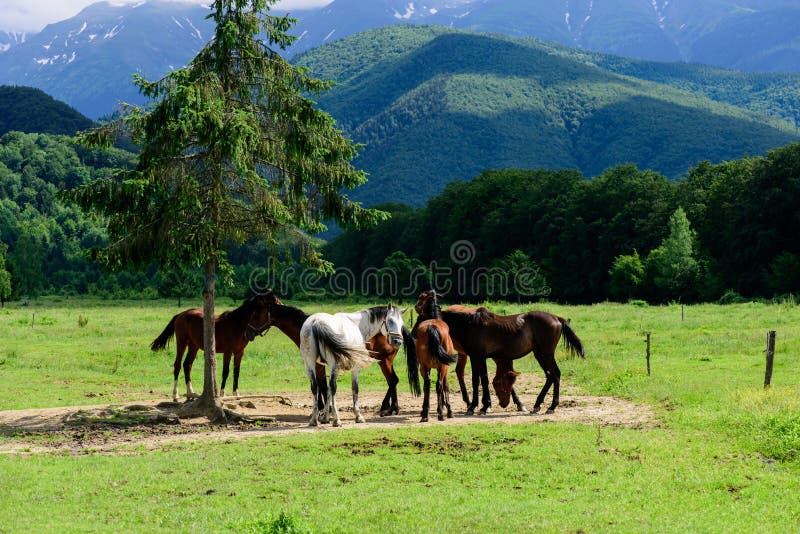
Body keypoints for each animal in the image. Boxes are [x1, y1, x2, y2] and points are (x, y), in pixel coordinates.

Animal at [256, 292, 419, 416]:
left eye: (400, 323)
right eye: (390, 321)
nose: (397, 341)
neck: (356, 325)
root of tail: (316, 323)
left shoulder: (323, 365)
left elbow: (325, 387)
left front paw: (324, 412)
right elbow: (331, 388)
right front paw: (326, 412)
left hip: (381, 361)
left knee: (392, 381)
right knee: (393, 381)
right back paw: (389, 408)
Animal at [408, 290, 458, 422]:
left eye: (420, 298)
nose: (415, 306)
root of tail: (432, 327)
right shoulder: (445, 368)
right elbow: (446, 386)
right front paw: (448, 410)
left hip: (425, 367)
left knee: (429, 384)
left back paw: (426, 414)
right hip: (436, 367)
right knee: (437, 385)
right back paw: (439, 413)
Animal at [414, 291, 585, 414]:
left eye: (422, 314)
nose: (416, 331)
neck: (470, 324)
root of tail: (557, 318)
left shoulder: (477, 357)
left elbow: (477, 380)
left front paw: (475, 407)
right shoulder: (481, 357)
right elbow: (483, 379)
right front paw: (483, 405)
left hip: (546, 354)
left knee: (555, 374)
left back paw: (551, 406)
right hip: (539, 354)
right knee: (550, 376)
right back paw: (537, 405)